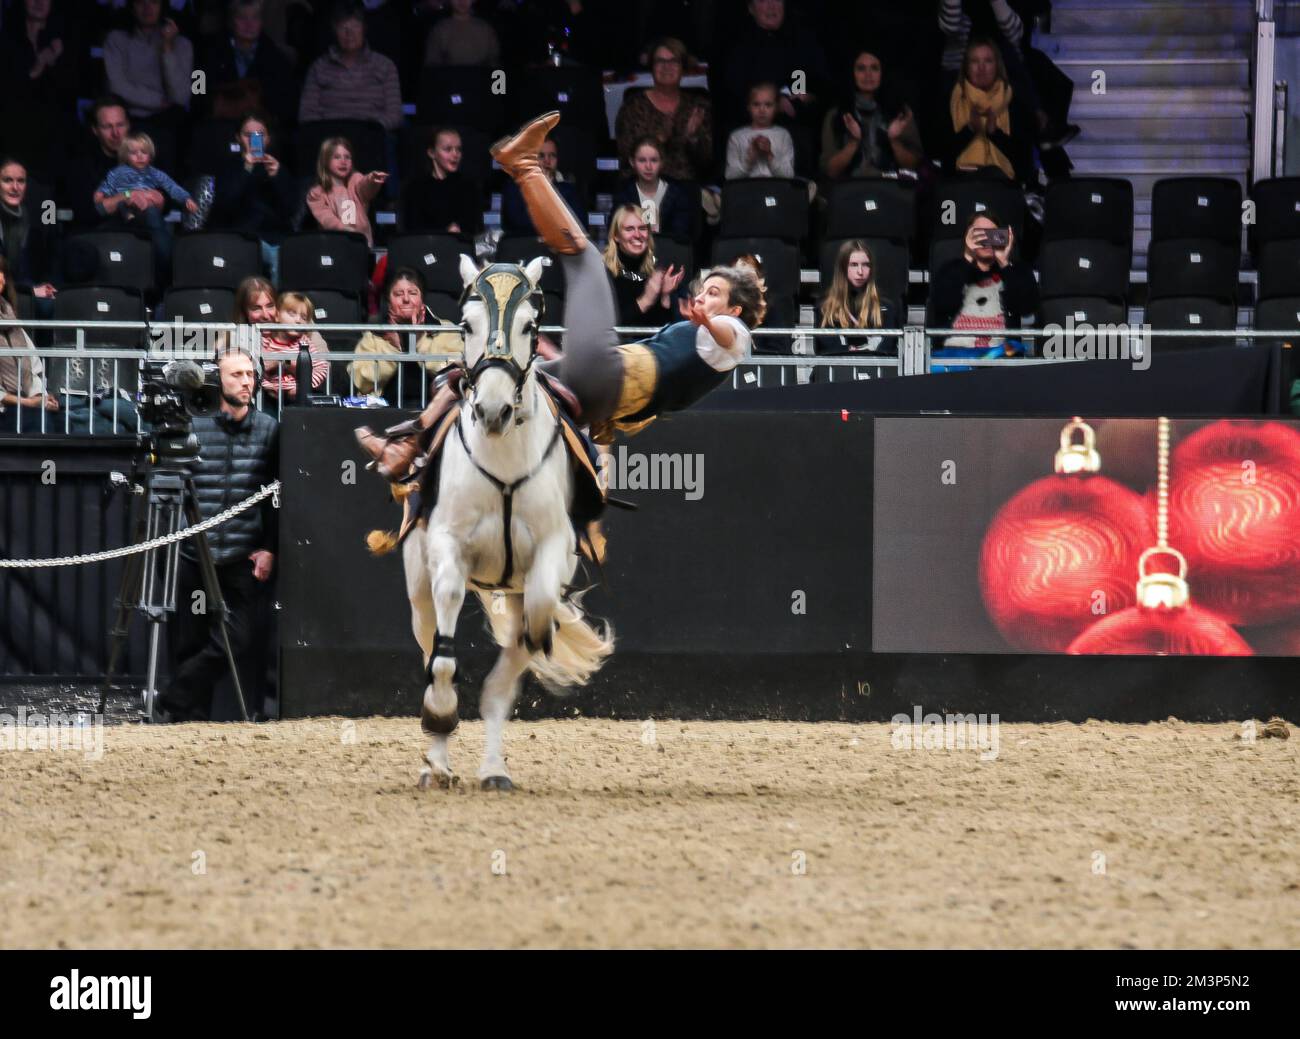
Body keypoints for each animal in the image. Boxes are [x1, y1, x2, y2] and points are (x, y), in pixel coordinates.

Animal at [404, 255, 614, 791]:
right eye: (465, 325)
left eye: (530, 326)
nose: (493, 410)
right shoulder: (446, 544)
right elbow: (443, 652)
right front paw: (440, 714)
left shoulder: (555, 548)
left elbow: (539, 610)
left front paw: (544, 632)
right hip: (417, 589)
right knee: (429, 643)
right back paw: (436, 763)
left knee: (501, 683)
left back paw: (494, 770)